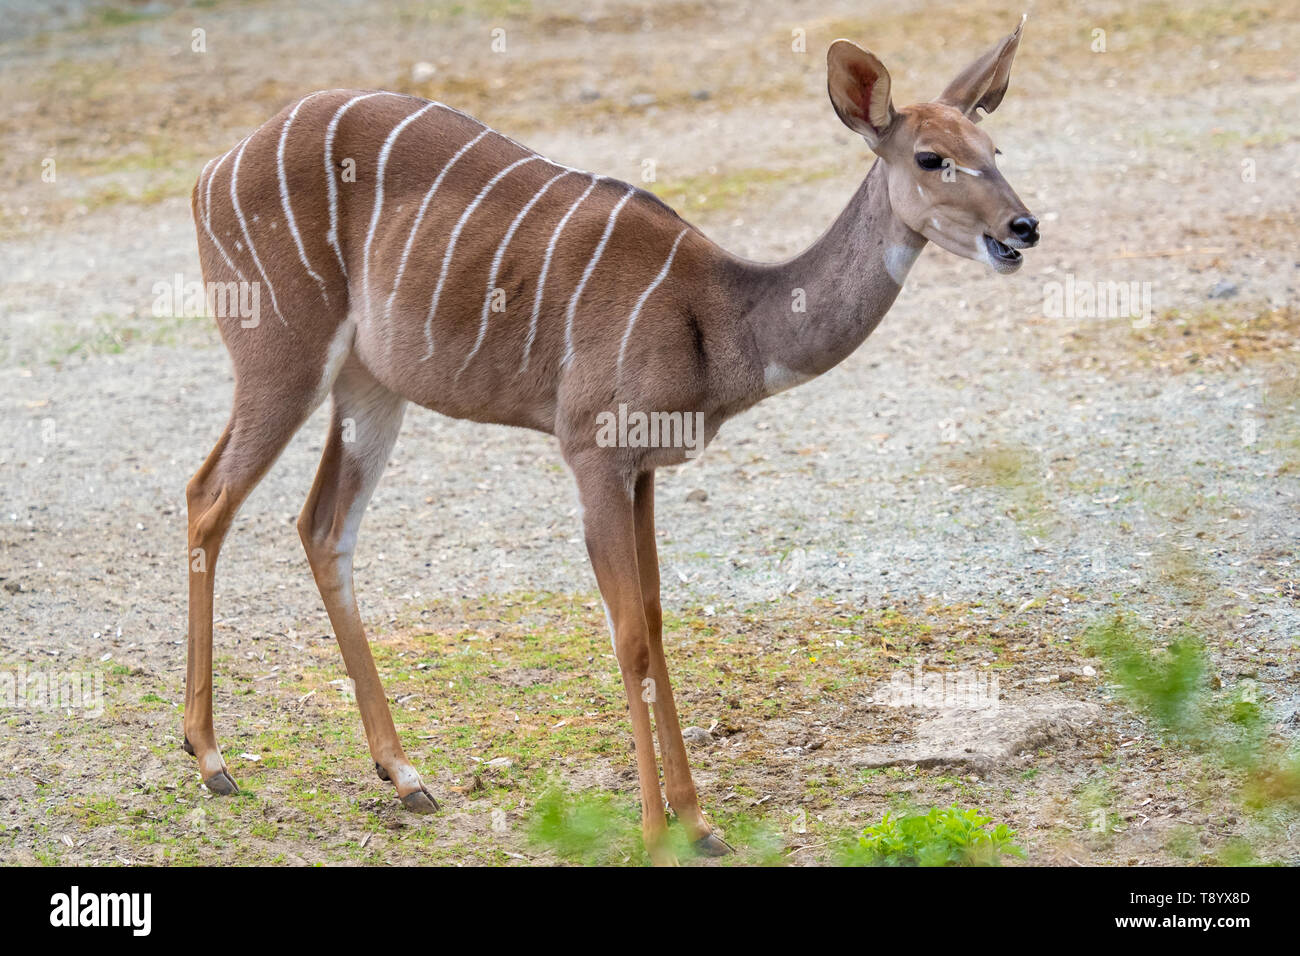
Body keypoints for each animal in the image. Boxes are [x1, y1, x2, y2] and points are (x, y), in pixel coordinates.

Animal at [185, 20, 1038, 864]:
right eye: (930, 156)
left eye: (995, 148)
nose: (1022, 228)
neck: (721, 316)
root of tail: (210, 173)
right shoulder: (593, 452)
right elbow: (627, 636)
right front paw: (656, 833)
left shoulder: (646, 468)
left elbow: (656, 621)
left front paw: (701, 823)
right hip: (282, 353)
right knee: (208, 497)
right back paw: (212, 759)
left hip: (370, 387)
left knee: (322, 525)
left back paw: (406, 776)